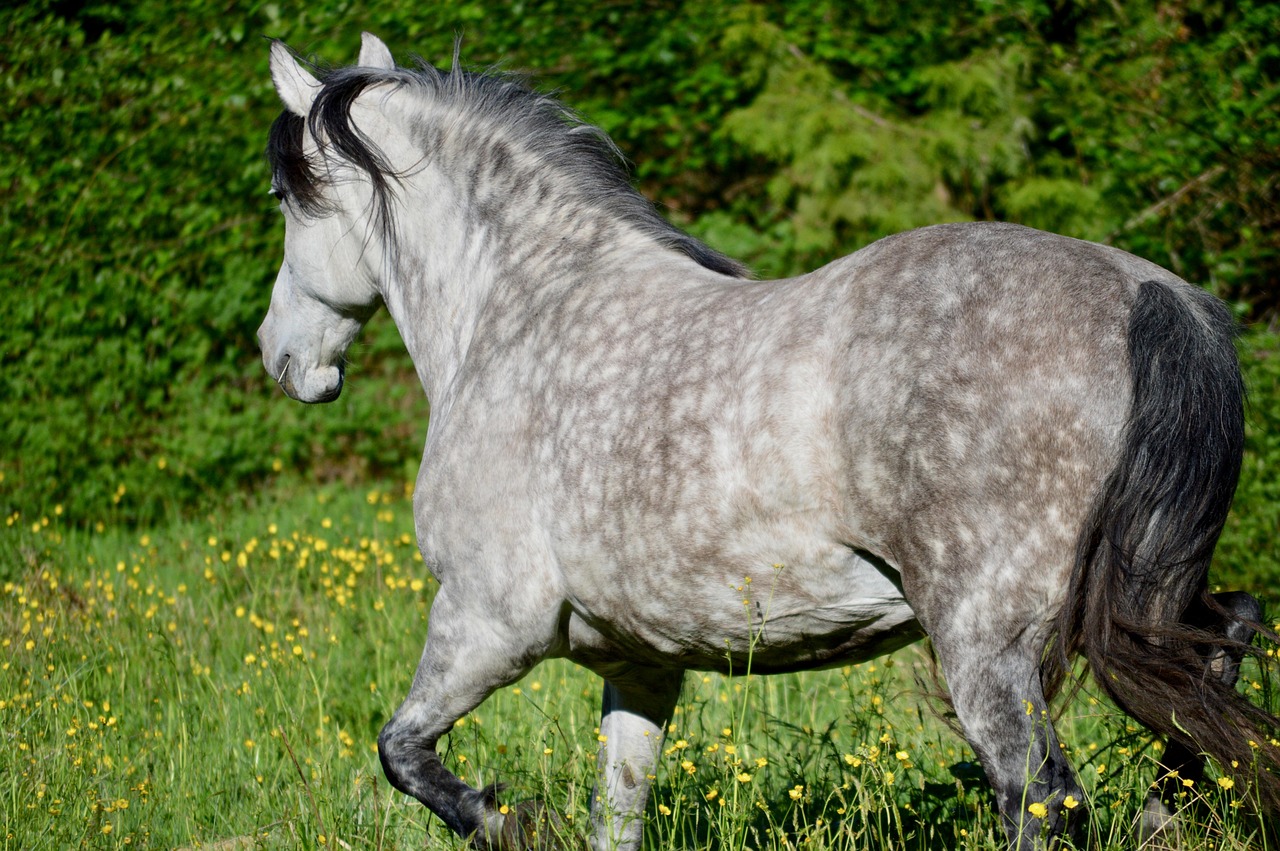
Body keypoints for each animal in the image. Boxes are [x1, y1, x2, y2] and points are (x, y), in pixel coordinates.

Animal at [256, 33, 1279, 850]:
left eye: (289, 200)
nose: (282, 358)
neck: (523, 311)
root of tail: (1152, 292)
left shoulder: (487, 622)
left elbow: (402, 751)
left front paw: (505, 818)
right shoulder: (640, 663)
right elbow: (615, 814)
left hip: (986, 640)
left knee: (1039, 797)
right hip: (1143, 586)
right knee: (1219, 645)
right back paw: (1168, 806)